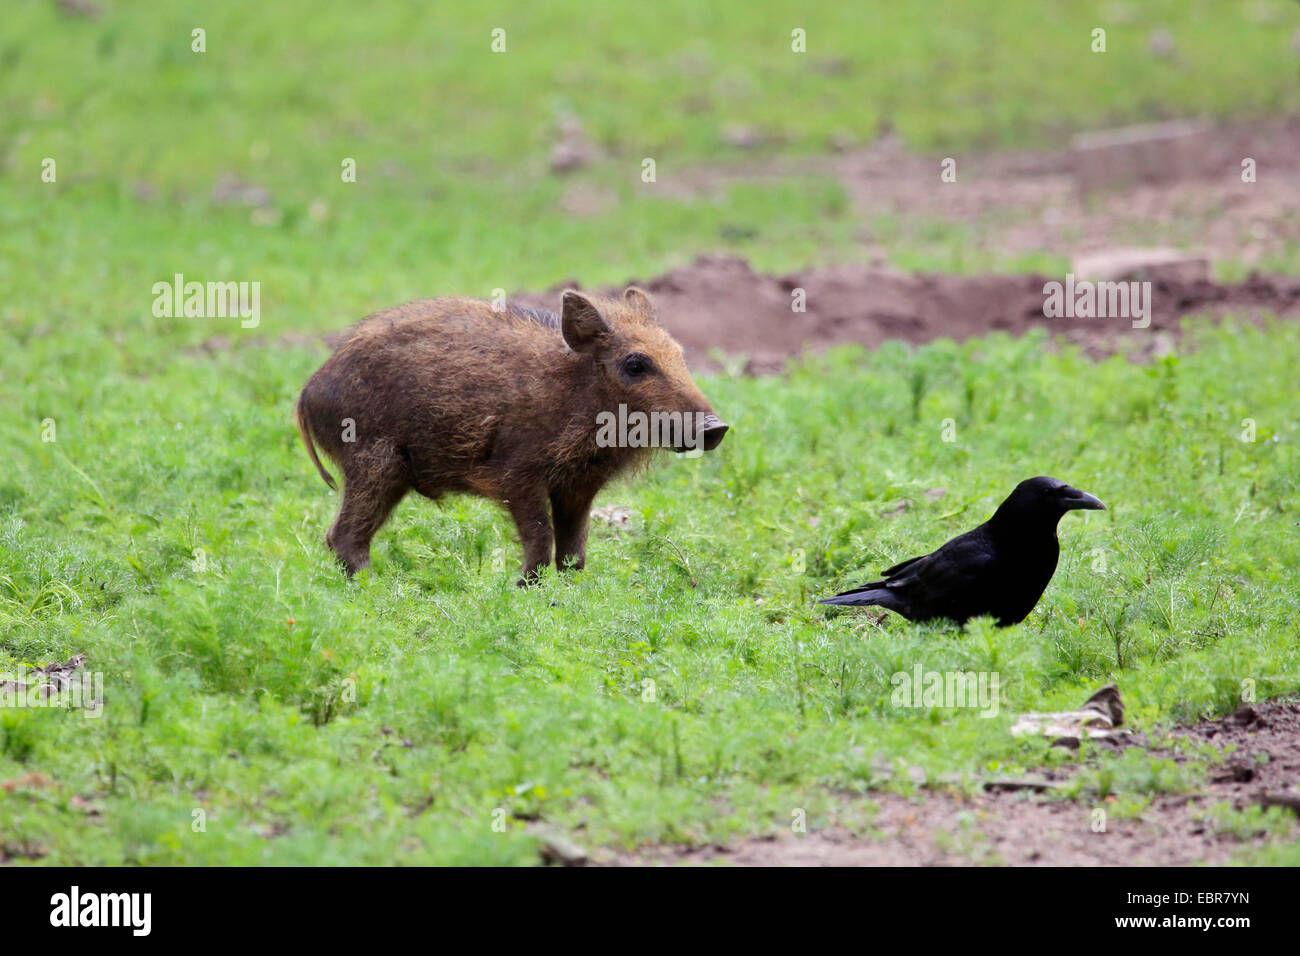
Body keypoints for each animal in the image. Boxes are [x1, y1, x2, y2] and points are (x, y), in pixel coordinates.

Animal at [296, 288, 728, 582]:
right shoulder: (517, 476)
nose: (717, 428)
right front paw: (526, 591)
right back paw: (379, 589)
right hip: (373, 463)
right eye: (636, 364)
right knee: (344, 537)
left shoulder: (578, 486)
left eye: (680, 355)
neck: (573, 394)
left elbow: (573, 553)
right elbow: (540, 541)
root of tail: (309, 390)